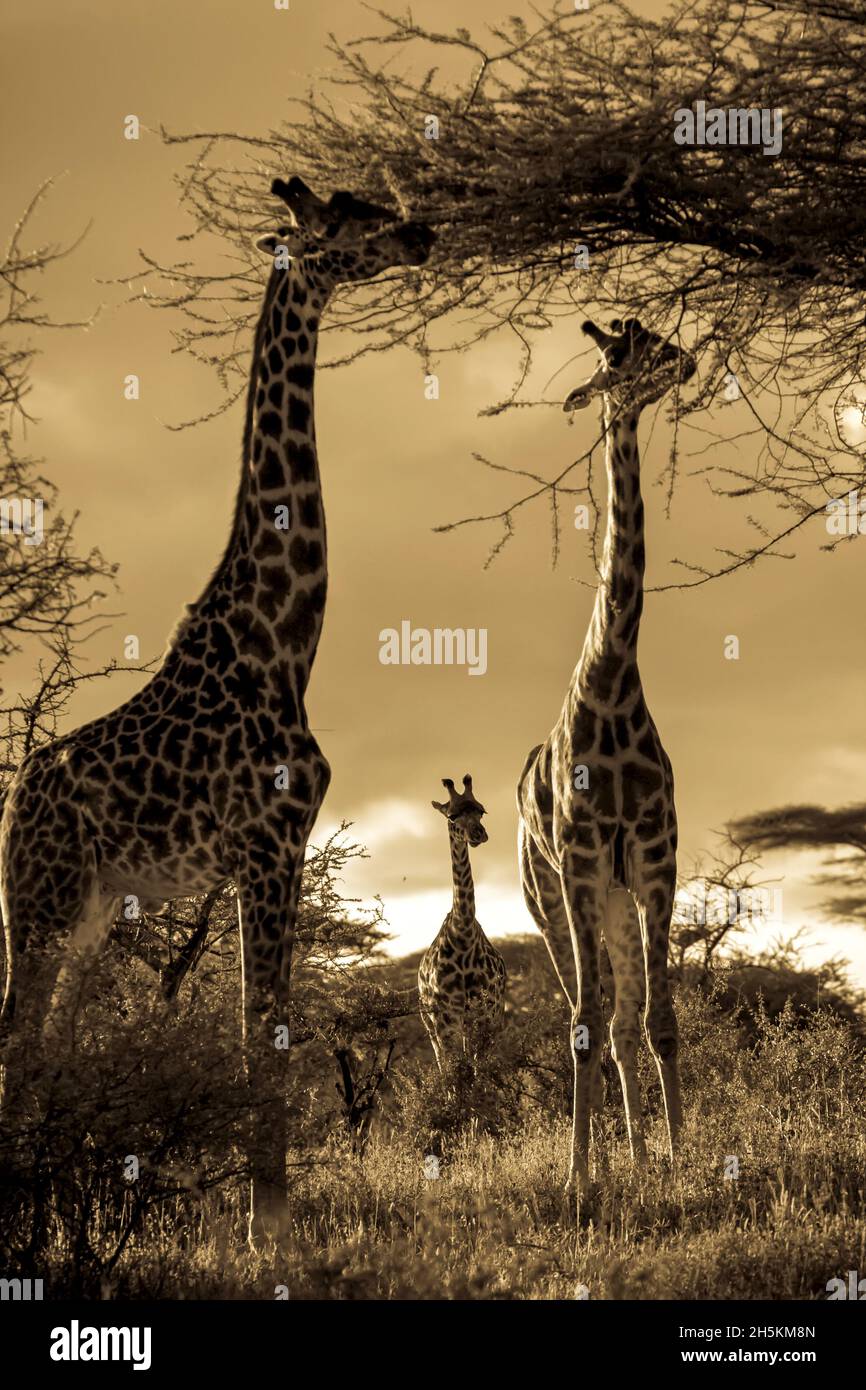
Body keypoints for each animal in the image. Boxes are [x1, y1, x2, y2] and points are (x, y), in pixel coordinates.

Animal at [0, 176, 435, 1241]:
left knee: (47, 1051)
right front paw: (264, 1228)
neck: (281, 639)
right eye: (350, 217)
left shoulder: (271, 850)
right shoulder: (266, 845)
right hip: (38, 900)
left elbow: (261, 1032)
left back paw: (40, 1212)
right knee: (16, 1044)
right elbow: (260, 1037)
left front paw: (263, 1219)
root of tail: (16, 798)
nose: (422, 231)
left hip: (89, 914)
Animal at [418, 775, 506, 1069]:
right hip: (430, 1023)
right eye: (452, 815)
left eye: (482, 810)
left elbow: (479, 1071)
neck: (463, 933)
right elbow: (455, 1073)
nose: (478, 833)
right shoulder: (445, 1019)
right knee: (443, 1064)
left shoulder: (487, 1012)